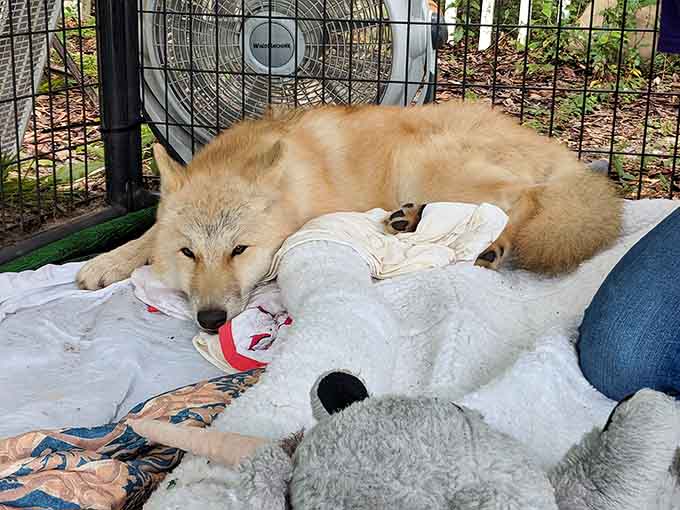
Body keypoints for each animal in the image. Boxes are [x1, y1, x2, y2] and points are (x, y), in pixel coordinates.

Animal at [77, 102, 622, 332]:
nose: (210, 320)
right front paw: (107, 262)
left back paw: (492, 244)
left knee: (523, 200)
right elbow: (147, 235)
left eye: (239, 251)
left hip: (423, 162)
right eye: (189, 253)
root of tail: (561, 154)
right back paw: (412, 219)